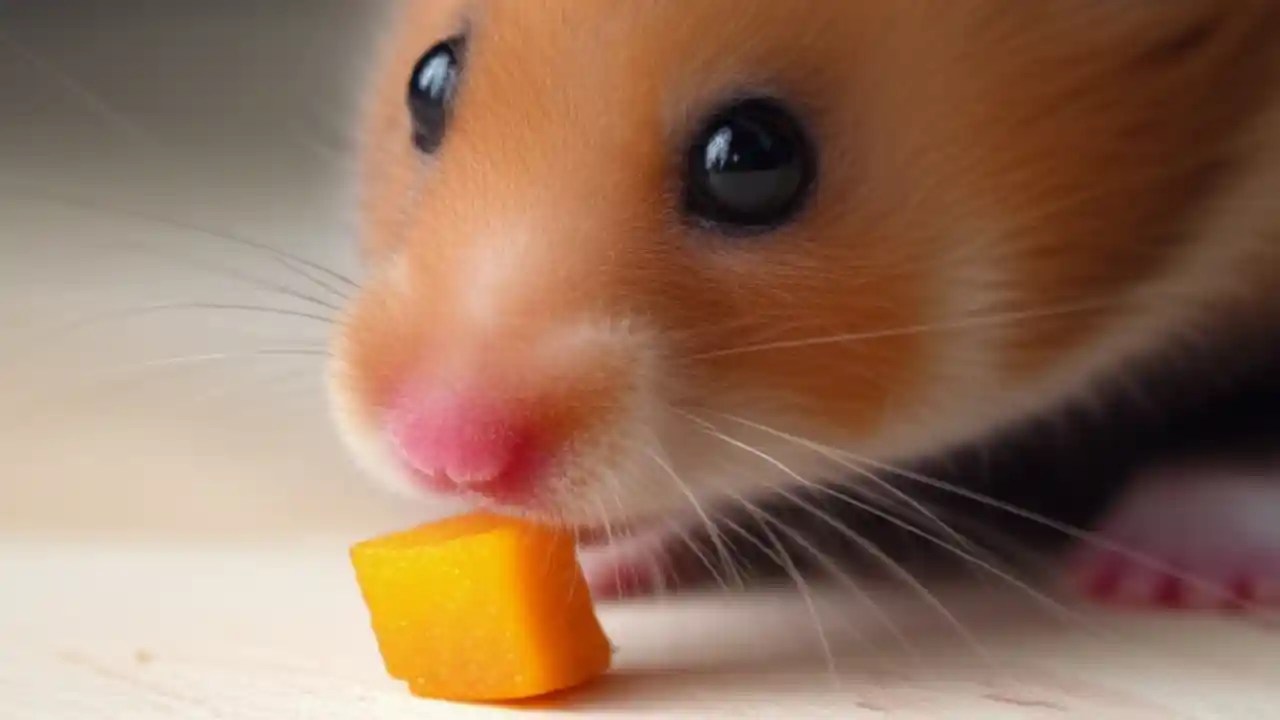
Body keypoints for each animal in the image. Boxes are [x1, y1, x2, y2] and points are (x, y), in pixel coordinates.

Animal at [328, 0, 1280, 605]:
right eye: (428, 81)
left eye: (753, 159)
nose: (441, 456)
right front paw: (601, 565)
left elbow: (1244, 427)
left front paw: (1159, 574)